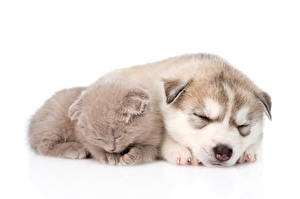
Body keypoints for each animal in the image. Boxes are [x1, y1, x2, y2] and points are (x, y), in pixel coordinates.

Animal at [28, 79, 163, 165]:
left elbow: (149, 152)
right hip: (54, 122)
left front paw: (133, 156)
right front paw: (108, 156)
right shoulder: (82, 134)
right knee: (43, 145)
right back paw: (75, 149)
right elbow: (93, 147)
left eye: (118, 136)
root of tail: (33, 119)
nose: (111, 149)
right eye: (99, 138)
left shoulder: (154, 135)